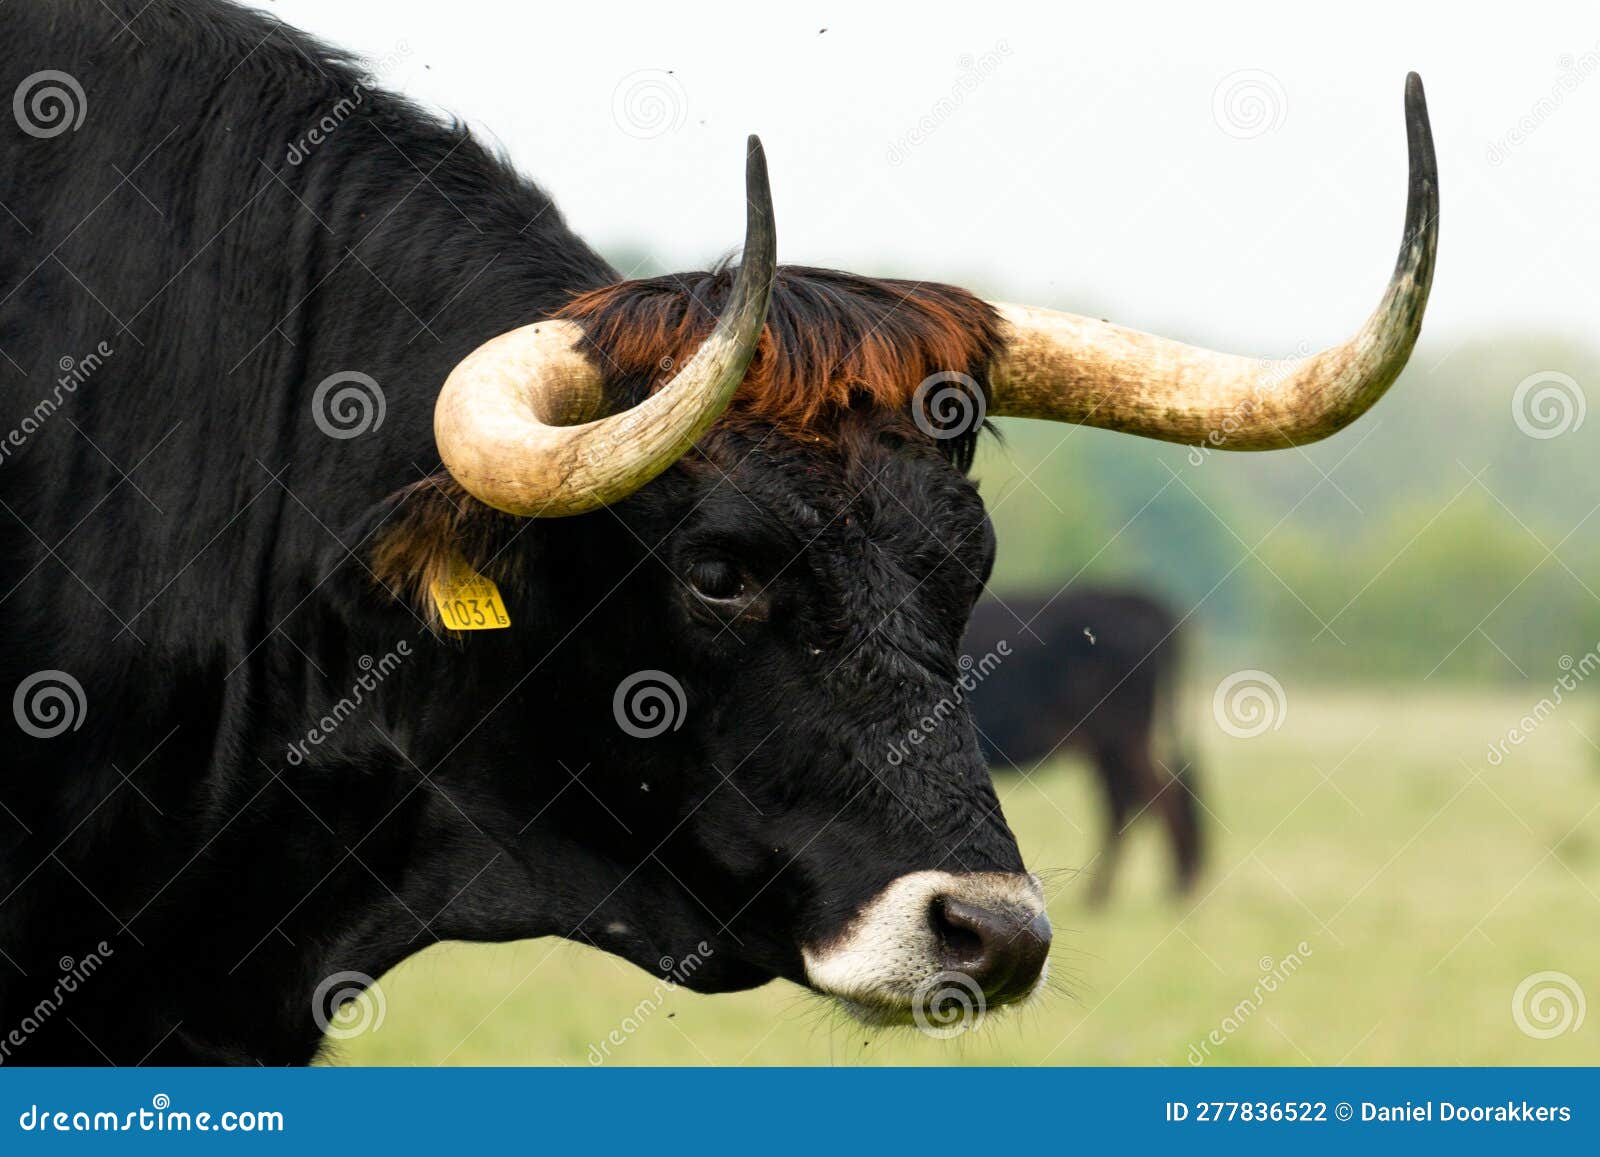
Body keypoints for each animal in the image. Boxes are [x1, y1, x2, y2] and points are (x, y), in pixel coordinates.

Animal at [963, 591, 1202, 905]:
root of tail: (1142, 601)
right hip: (1109, 746)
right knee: (1130, 801)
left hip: (1124, 735)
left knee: (1158, 796)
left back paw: (1173, 888)